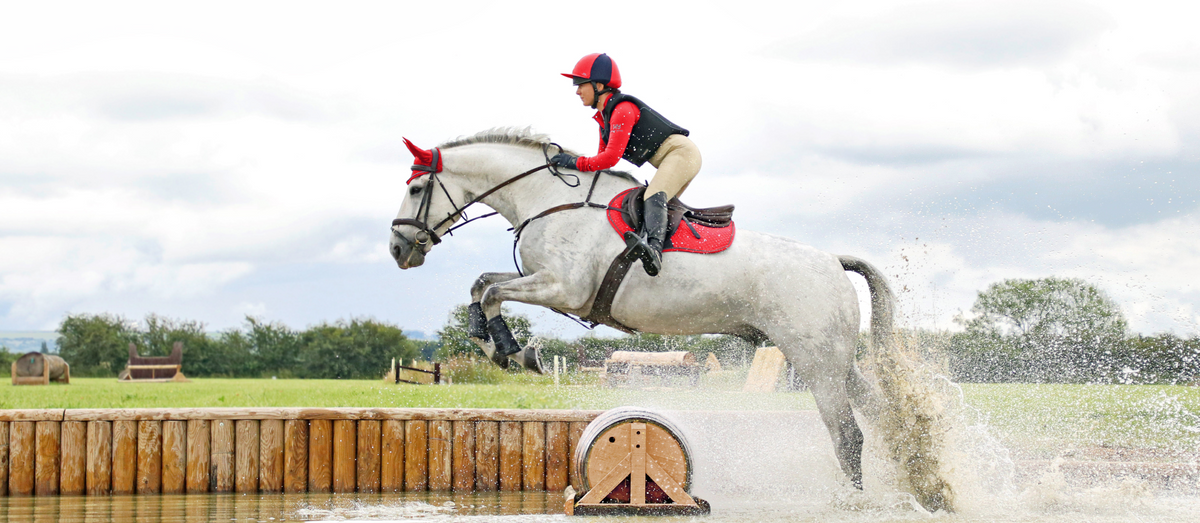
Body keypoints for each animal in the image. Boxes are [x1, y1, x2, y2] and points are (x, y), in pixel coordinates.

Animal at [389, 127, 895, 489]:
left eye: (415, 189)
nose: (397, 249)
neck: (550, 200)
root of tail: (832, 261)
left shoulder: (563, 288)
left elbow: (493, 291)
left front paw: (515, 352)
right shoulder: (541, 279)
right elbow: (482, 284)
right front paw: (494, 344)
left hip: (816, 362)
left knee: (848, 436)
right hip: (834, 359)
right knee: (878, 415)